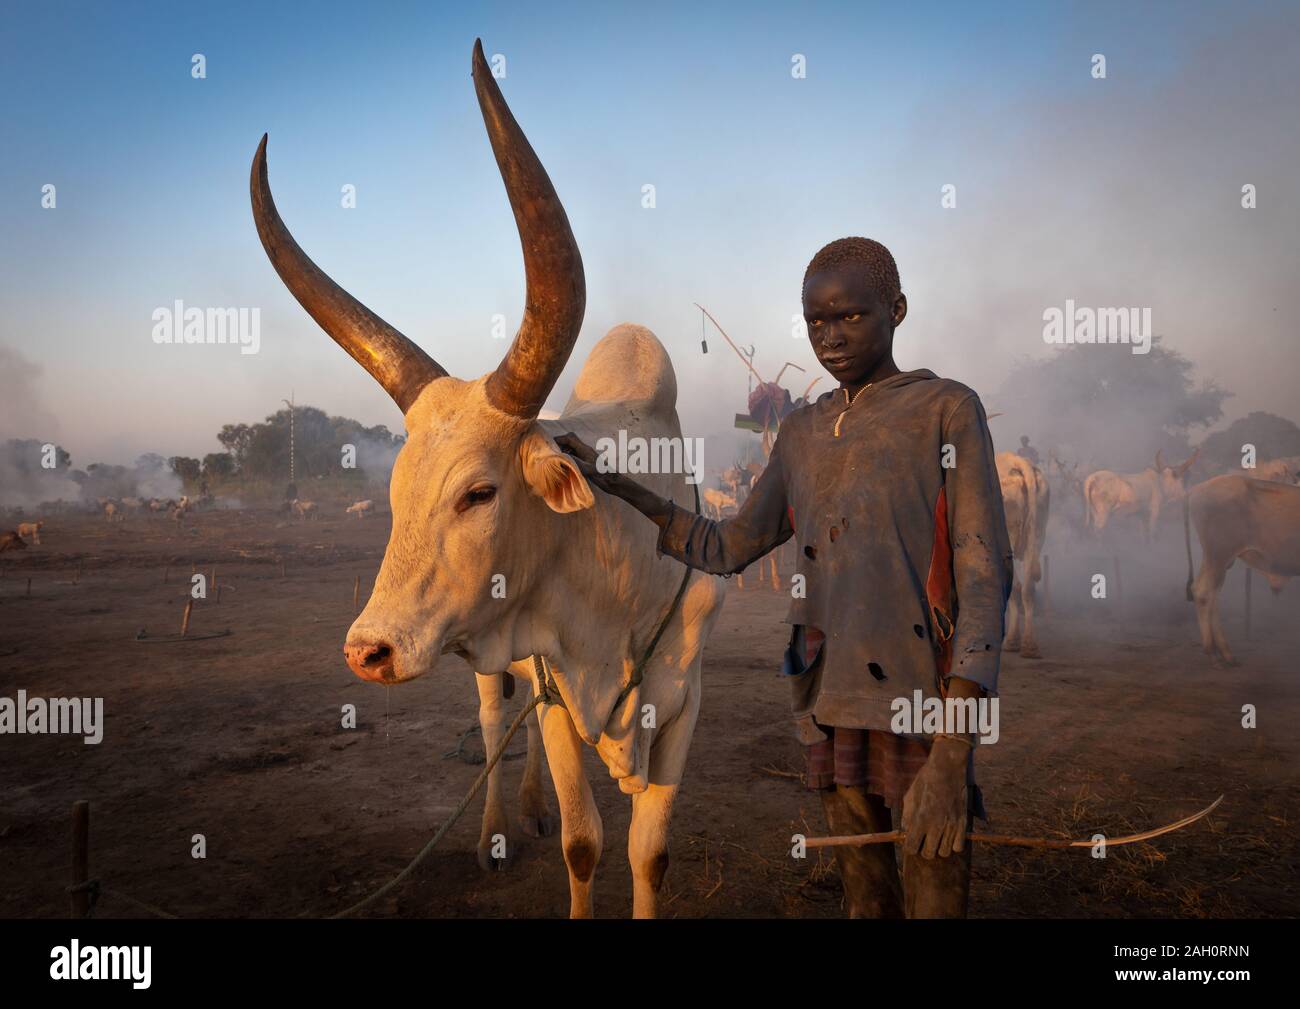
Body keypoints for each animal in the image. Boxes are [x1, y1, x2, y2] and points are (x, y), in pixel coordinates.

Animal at [251, 40, 726, 918]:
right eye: (396, 495)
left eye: (479, 492)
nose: (367, 650)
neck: (618, 570)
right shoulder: (556, 681)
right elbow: (583, 841)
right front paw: (543, 827)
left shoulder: (683, 704)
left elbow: (650, 852)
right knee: (493, 716)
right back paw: (502, 827)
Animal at [996, 452, 1050, 658]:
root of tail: (1019, 462)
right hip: (1039, 525)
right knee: (1027, 588)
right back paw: (1028, 645)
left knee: (1015, 586)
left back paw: (1012, 641)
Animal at [1185, 475, 1300, 665]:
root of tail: (1196, 489)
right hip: (1219, 554)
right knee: (1203, 592)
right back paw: (1213, 653)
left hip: (1217, 560)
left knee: (1211, 595)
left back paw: (1225, 653)